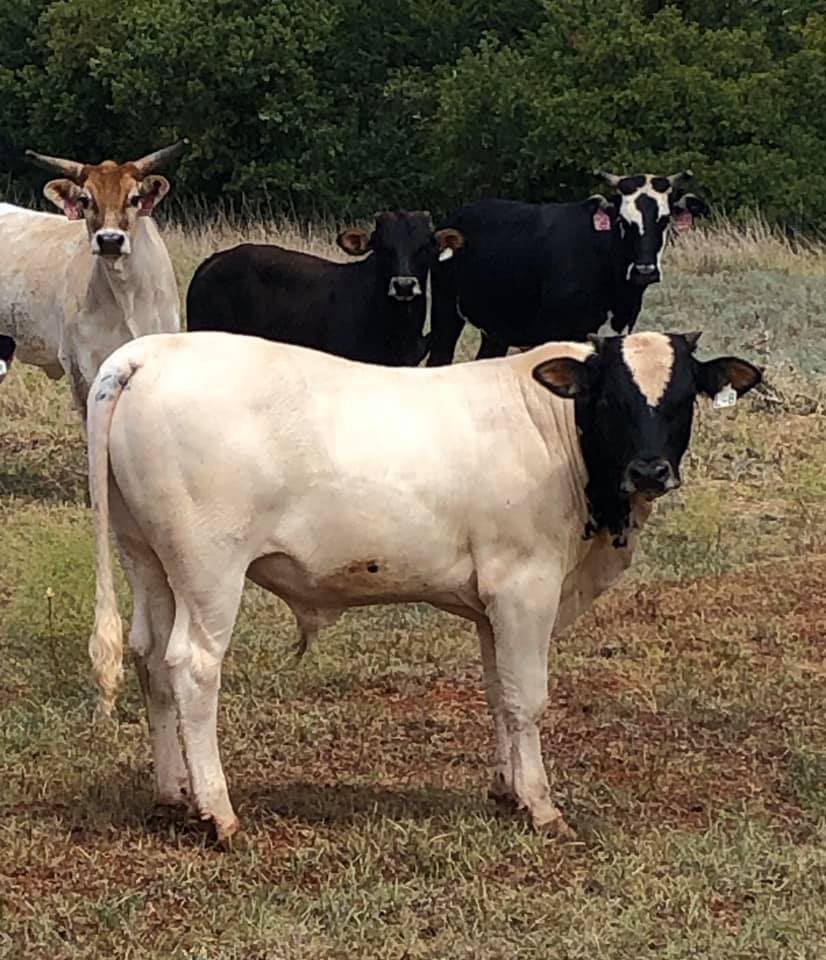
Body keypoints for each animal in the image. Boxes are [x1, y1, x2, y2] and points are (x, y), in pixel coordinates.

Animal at [86, 329, 760, 843]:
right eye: (611, 397)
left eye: (682, 398)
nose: (650, 470)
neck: (557, 432)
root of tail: (150, 351)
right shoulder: (525, 589)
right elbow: (528, 698)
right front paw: (542, 805)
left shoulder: (493, 606)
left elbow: (499, 693)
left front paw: (507, 790)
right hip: (209, 570)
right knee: (192, 667)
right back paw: (219, 812)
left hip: (147, 558)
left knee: (150, 658)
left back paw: (172, 794)